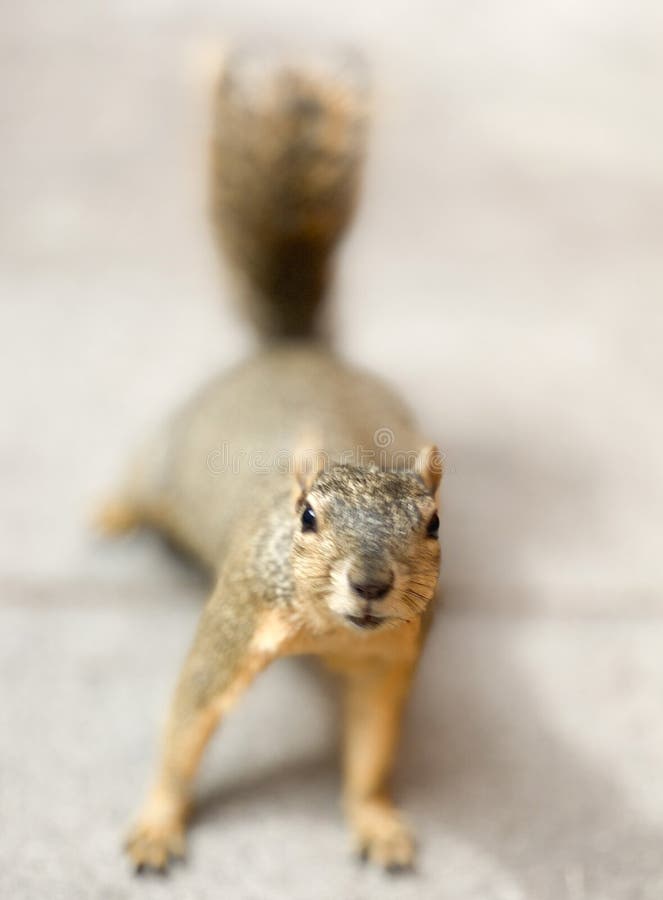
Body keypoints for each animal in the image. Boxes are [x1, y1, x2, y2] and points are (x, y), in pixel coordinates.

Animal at [97, 45, 443, 874]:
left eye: (435, 525)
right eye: (307, 516)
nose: (371, 583)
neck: (330, 633)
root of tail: (291, 350)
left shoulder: (390, 660)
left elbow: (373, 750)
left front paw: (375, 821)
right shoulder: (231, 620)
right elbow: (184, 726)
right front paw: (157, 825)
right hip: (168, 447)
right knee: (140, 477)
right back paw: (115, 510)